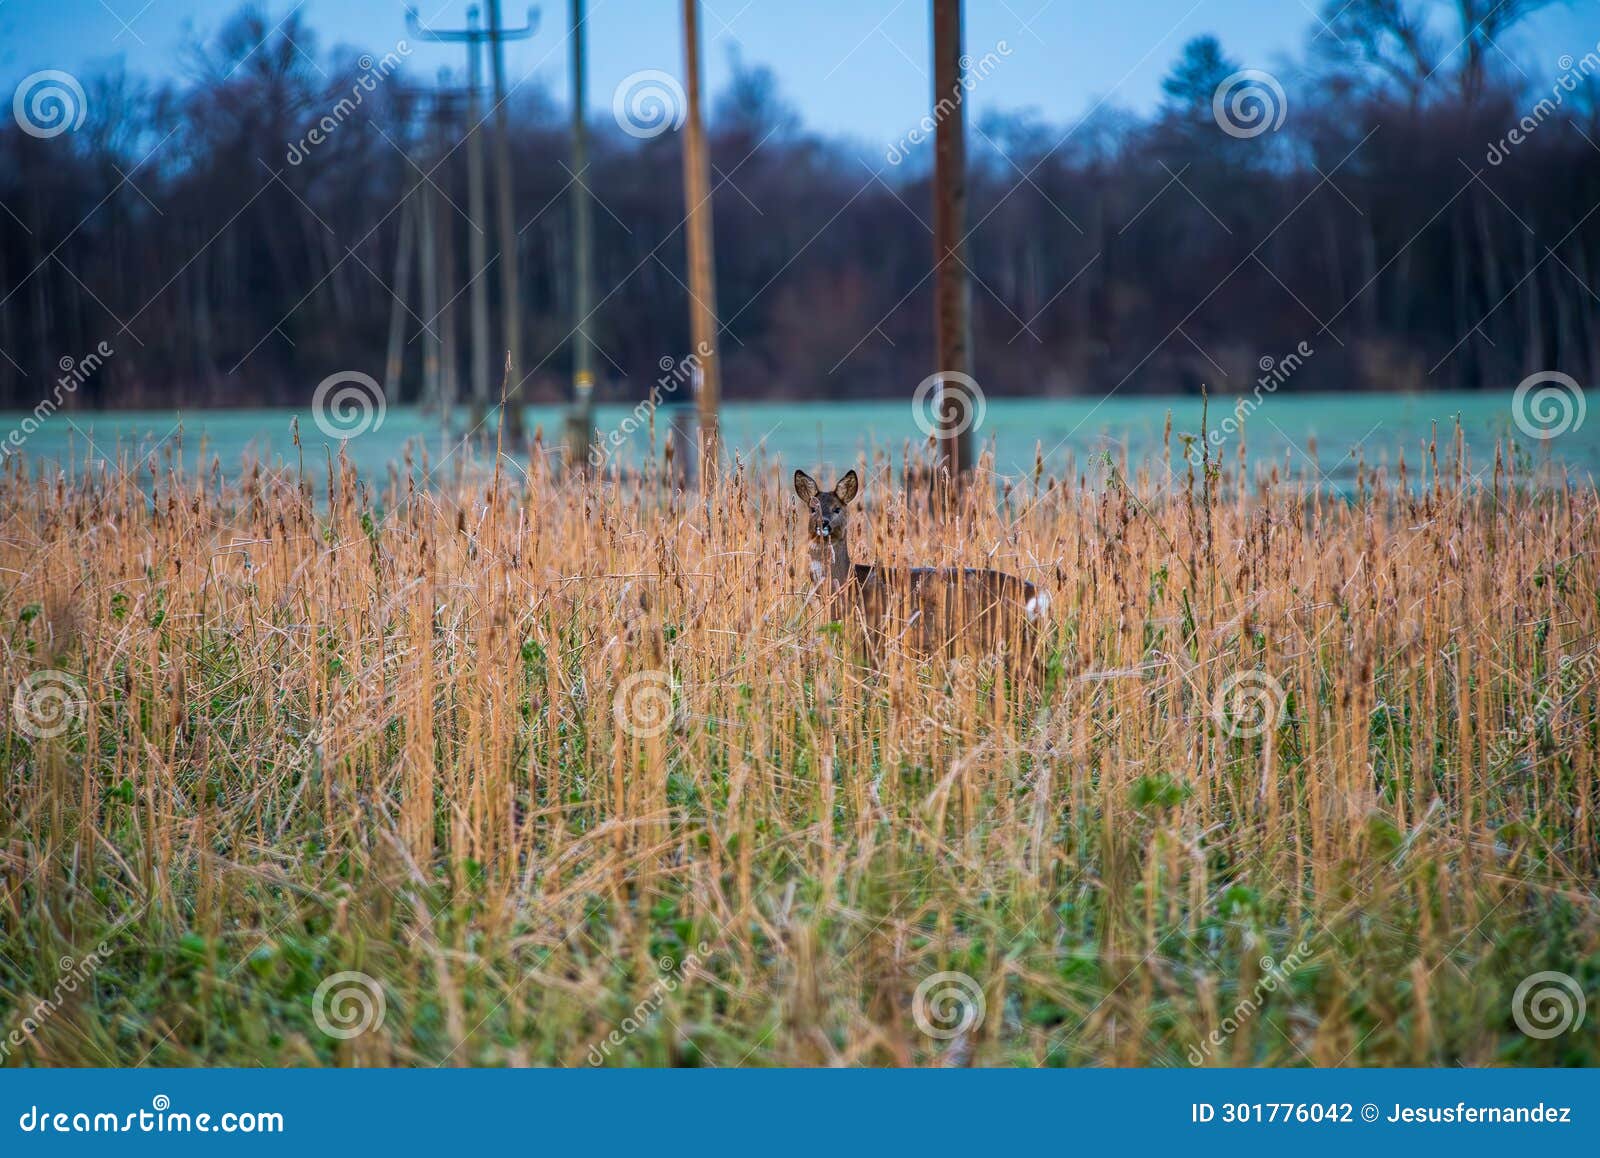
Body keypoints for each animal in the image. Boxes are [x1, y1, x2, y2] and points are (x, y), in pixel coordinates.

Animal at [794, 468, 1050, 681]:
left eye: (837, 508)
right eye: (812, 508)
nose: (823, 523)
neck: (850, 582)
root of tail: (1037, 595)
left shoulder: (873, 635)